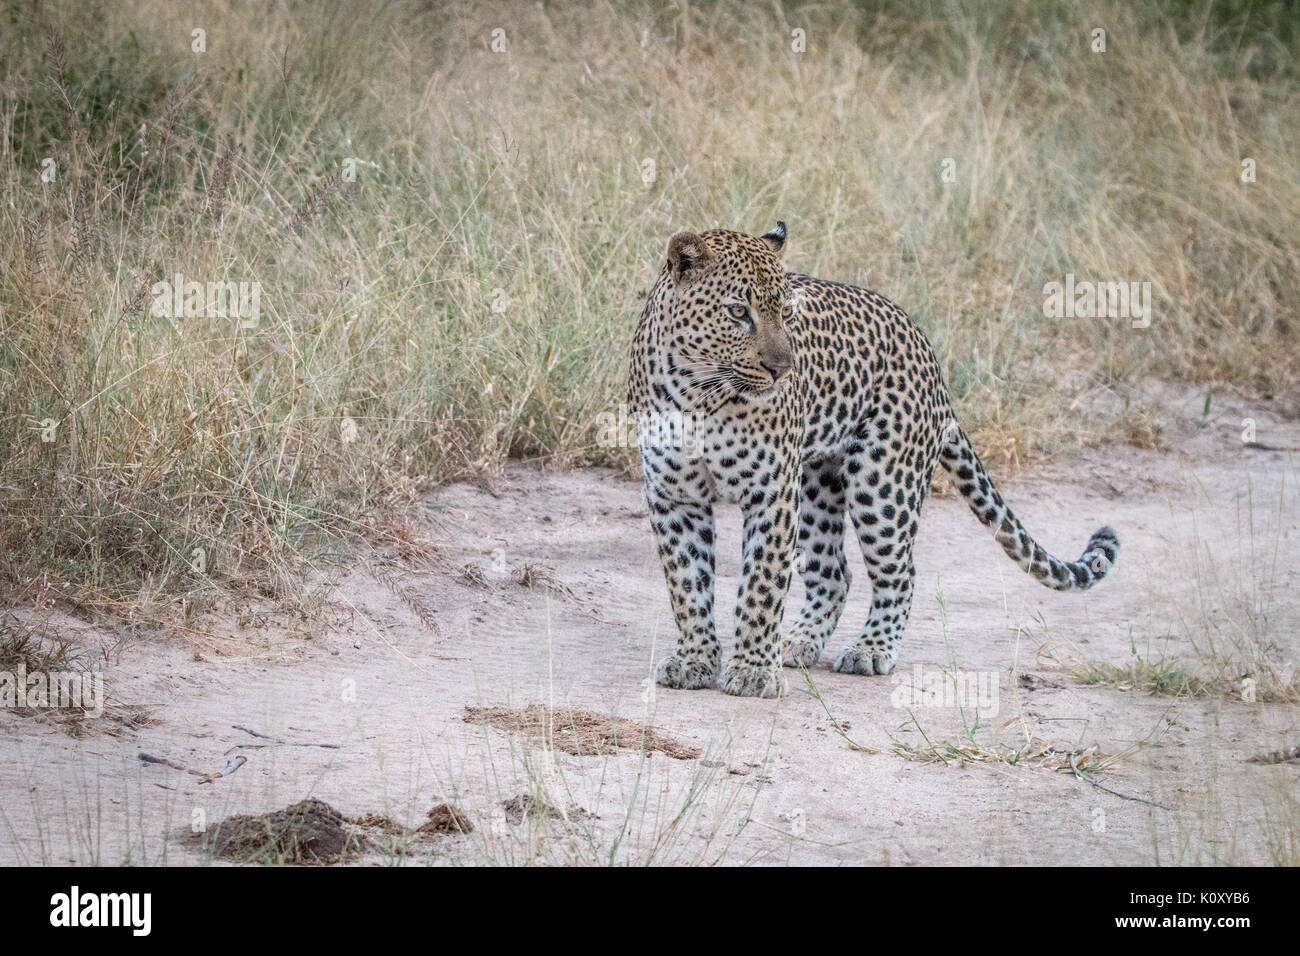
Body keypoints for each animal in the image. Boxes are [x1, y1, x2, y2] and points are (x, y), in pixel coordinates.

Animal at [626, 221, 1119, 698]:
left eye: (786, 314)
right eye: (737, 313)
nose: (782, 370)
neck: (700, 393)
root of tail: (926, 348)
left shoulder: (771, 493)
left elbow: (761, 586)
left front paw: (753, 672)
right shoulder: (674, 496)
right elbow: (687, 584)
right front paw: (695, 661)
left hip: (881, 486)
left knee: (900, 574)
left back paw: (870, 650)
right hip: (816, 486)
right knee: (835, 575)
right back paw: (798, 642)